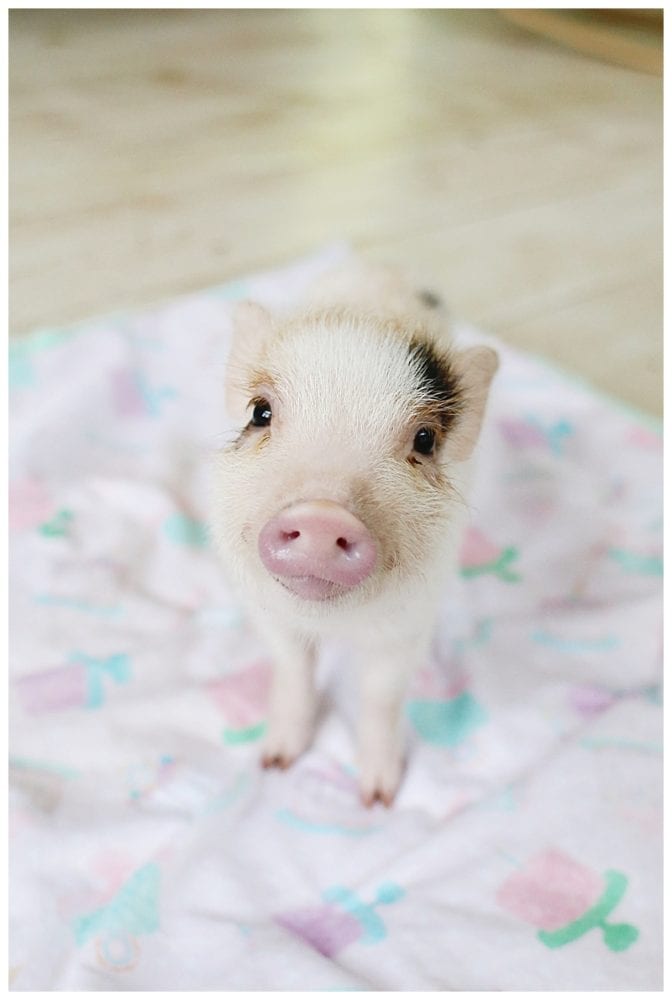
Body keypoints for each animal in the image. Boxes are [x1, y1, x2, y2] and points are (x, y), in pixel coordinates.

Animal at [210, 263, 498, 806]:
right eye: (261, 412)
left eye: (424, 439)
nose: (323, 516)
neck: (334, 623)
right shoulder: (269, 611)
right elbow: (294, 668)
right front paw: (275, 763)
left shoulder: (407, 624)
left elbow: (381, 695)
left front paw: (378, 798)